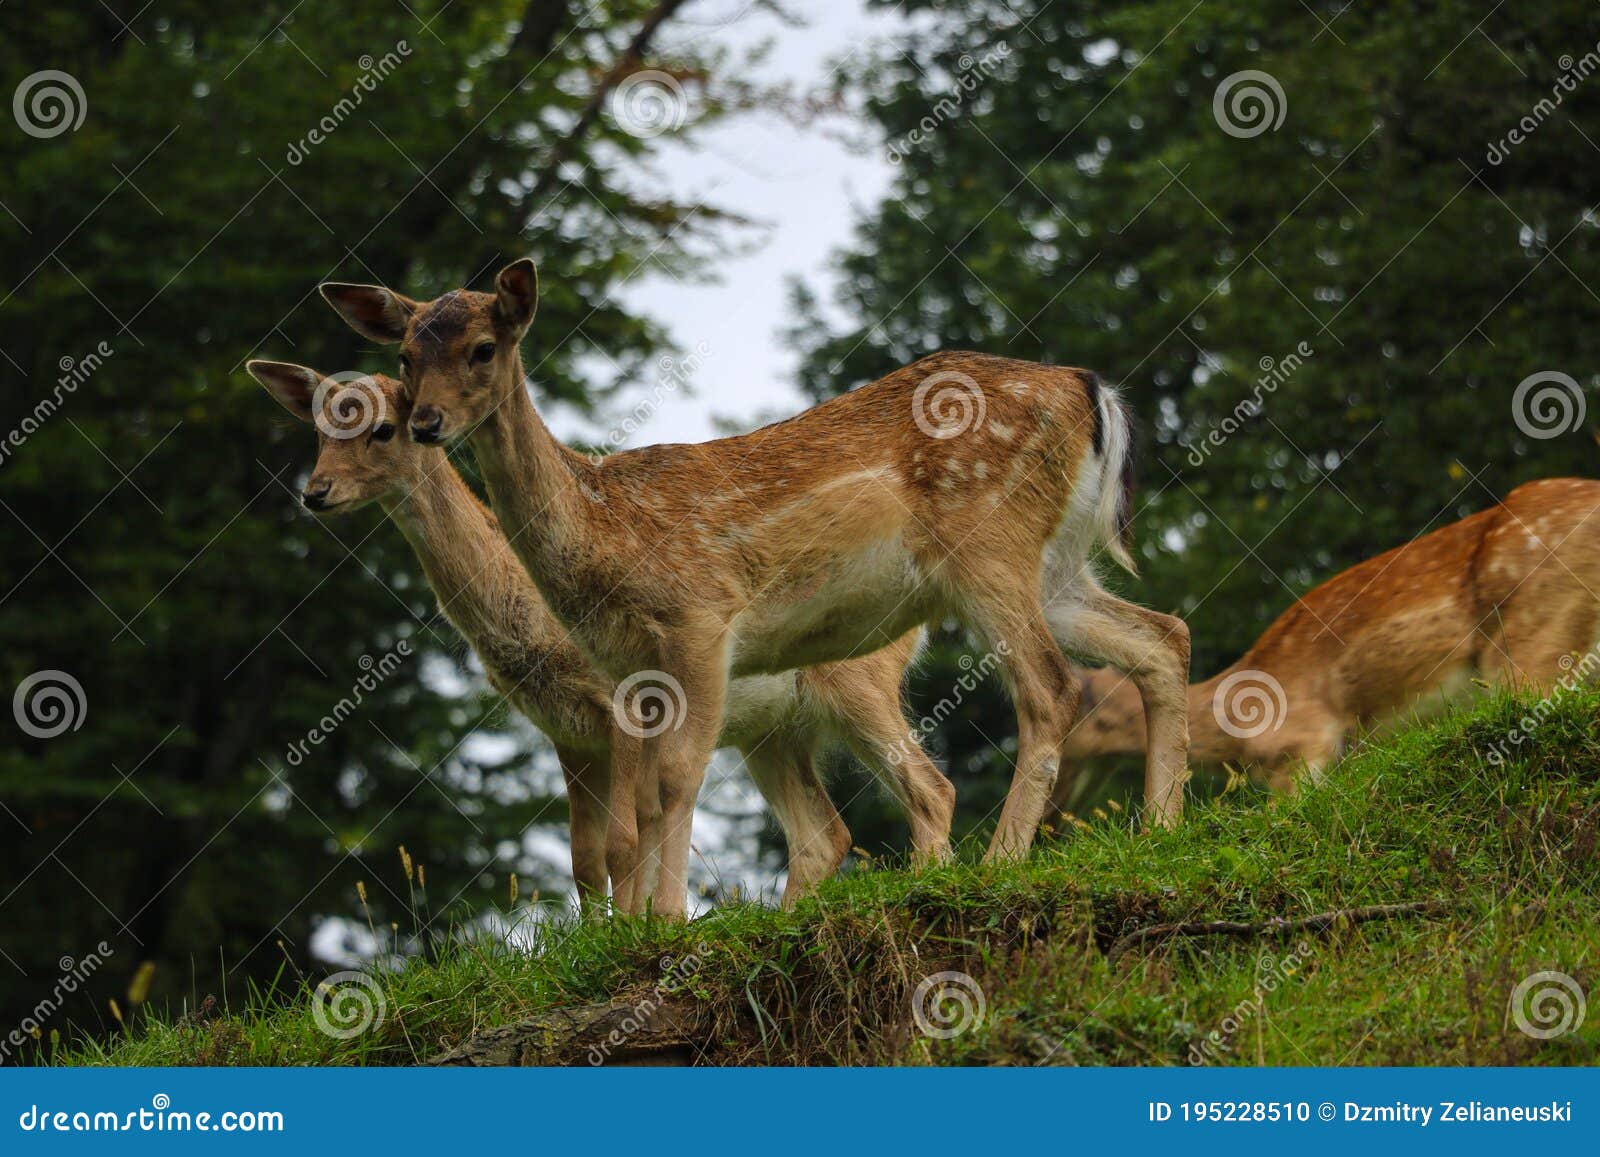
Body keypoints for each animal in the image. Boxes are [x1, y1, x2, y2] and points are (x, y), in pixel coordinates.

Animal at [247, 361, 958, 912]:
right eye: (318, 428)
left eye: (382, 428)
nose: (315, 492)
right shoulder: (566, 732)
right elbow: (583, 858)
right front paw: (598, 939)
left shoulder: (617, 702)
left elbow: (624, 842)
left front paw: (633, 933)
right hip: (772, 731)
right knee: (823, 834)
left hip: (859, 679)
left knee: (928, 788)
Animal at [319, 258, 1191, 918]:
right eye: (406, 355)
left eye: (482, 347)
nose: (426, 422)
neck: (602, 536)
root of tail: (1090, 389)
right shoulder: (630, 672)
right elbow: (636, 813)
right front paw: (640, 929)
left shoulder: (699, 620)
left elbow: (672, 782)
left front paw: (667, 922)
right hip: (1054, 566)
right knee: (1160, 634)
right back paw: (1160, 828)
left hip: (985, 547)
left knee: (1047, 689)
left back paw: (999, 863)